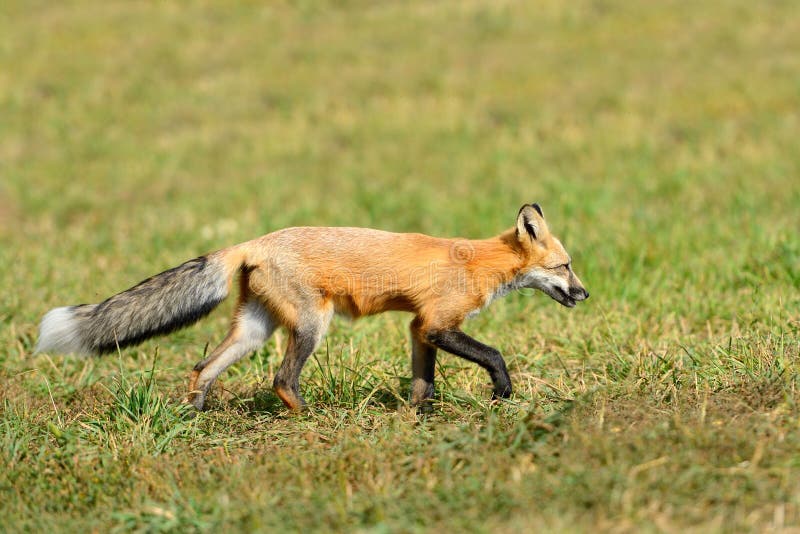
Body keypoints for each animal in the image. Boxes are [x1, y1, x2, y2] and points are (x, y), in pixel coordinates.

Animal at [36, 203, 588, 411]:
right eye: (565, 266)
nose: (584, 294)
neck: (480, 262)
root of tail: (255, 241)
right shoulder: (437, 323)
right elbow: (493, 354)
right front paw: (503, 393)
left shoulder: (418, 329)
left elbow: (422, 382)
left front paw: (416, 417)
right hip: (310, 326)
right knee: (281, 380)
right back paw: (309, 417)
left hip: (253, 330)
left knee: (202, 367)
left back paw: (194, 414)